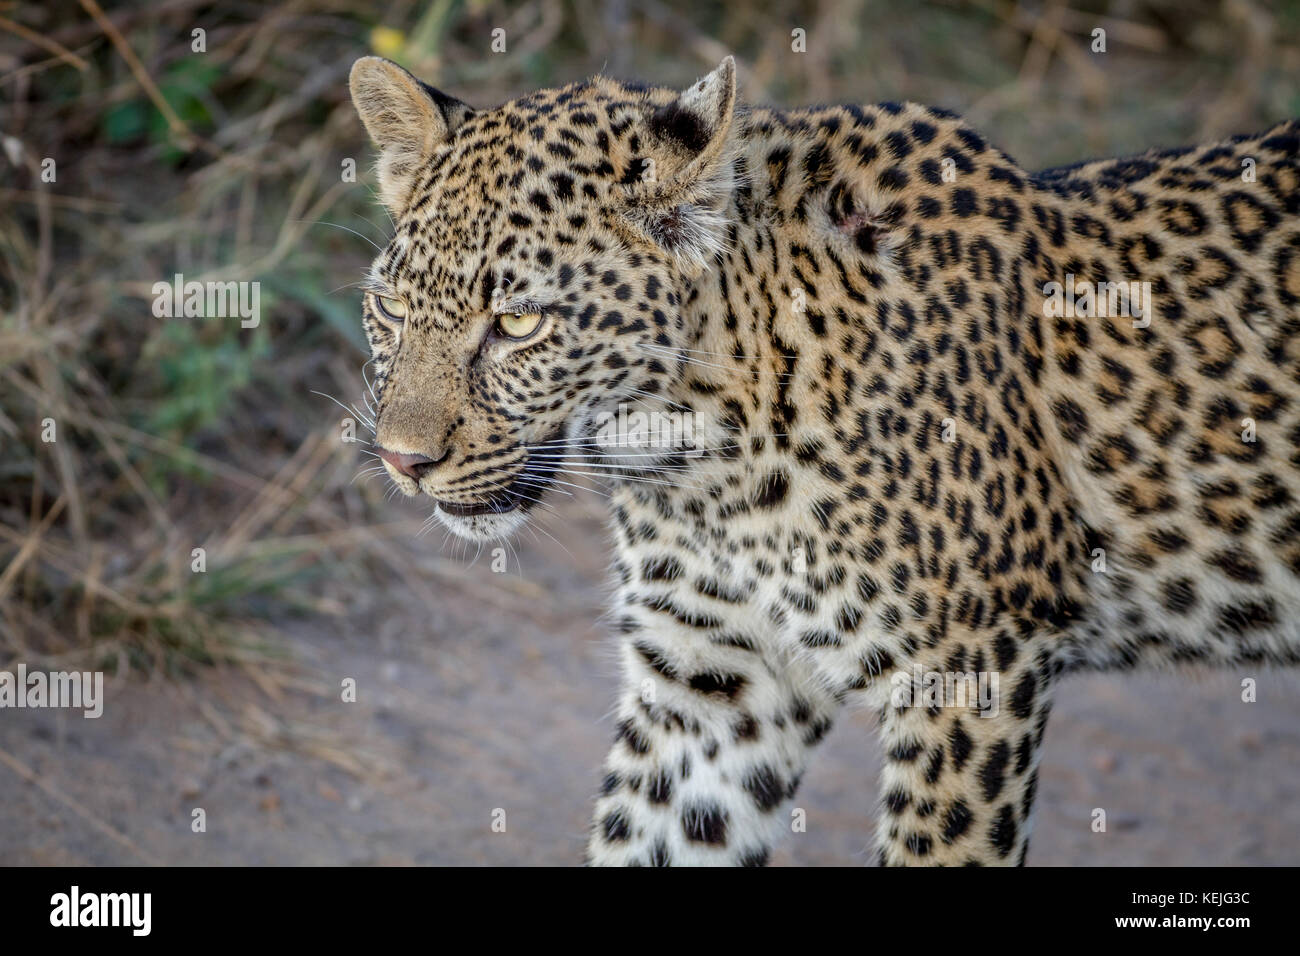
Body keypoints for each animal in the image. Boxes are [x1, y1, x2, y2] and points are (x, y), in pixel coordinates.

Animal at [346, 53, 1300, 866]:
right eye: (390, 308)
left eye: (518, 322)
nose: (401, 459)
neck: (699, 459)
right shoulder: (708, 685)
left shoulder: (972, 676)